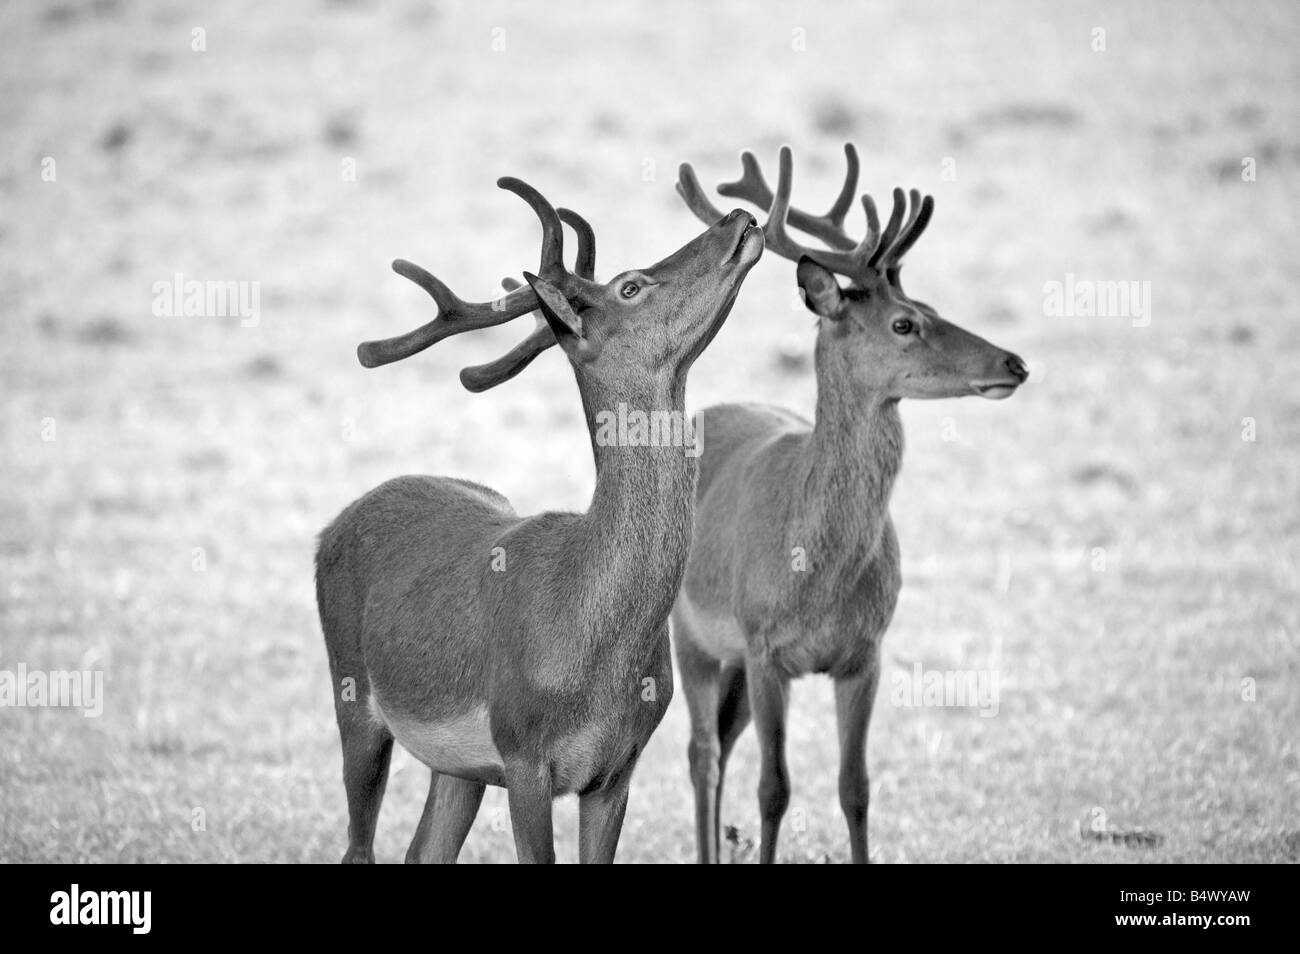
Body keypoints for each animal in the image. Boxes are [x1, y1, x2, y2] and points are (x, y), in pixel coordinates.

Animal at [314, 173, 764, 864]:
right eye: (631, 285)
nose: (740, 218)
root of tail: (328, 530)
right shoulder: (524, 755)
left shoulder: (616, 771)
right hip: (354, 698)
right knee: (357, 846)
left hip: (459, 768)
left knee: (424, 849)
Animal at [671, 144, 1029, 863]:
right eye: (904, 323)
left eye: (931, 305)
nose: (1014, 363)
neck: (816, 571)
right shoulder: (764, 646)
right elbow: (774, 788)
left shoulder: (865, 653)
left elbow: (855, 787)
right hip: (686, 630)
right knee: (702, 753)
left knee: (720, 740)